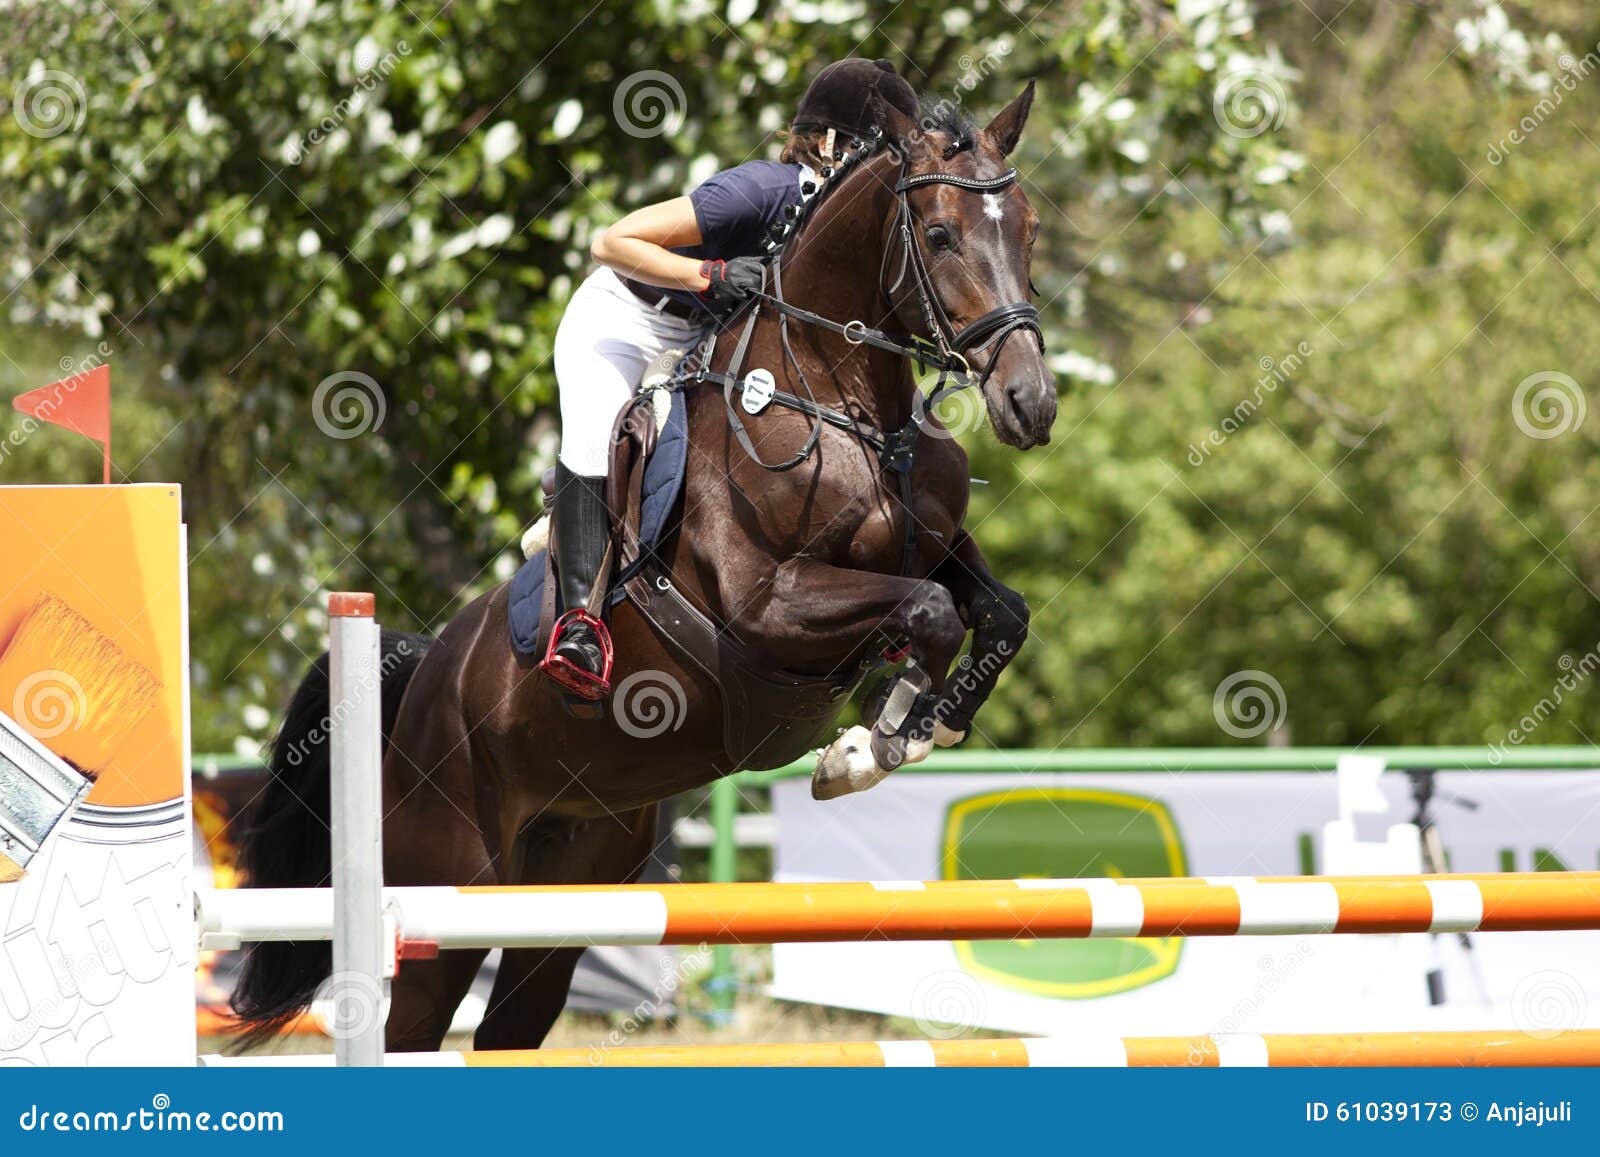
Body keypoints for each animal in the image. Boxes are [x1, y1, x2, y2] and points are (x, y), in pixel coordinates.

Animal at [231, 84, 1056, 1053]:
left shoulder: (934, 544)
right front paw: (862, 749)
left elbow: (997, 611)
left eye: (1030, 230)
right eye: (937, 234)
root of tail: (423, 674)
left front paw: (924, 728)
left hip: (564, 890)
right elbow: (928, 610)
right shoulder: (768, 607)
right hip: (448, 887)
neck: (842, 400)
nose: (1030, 403)